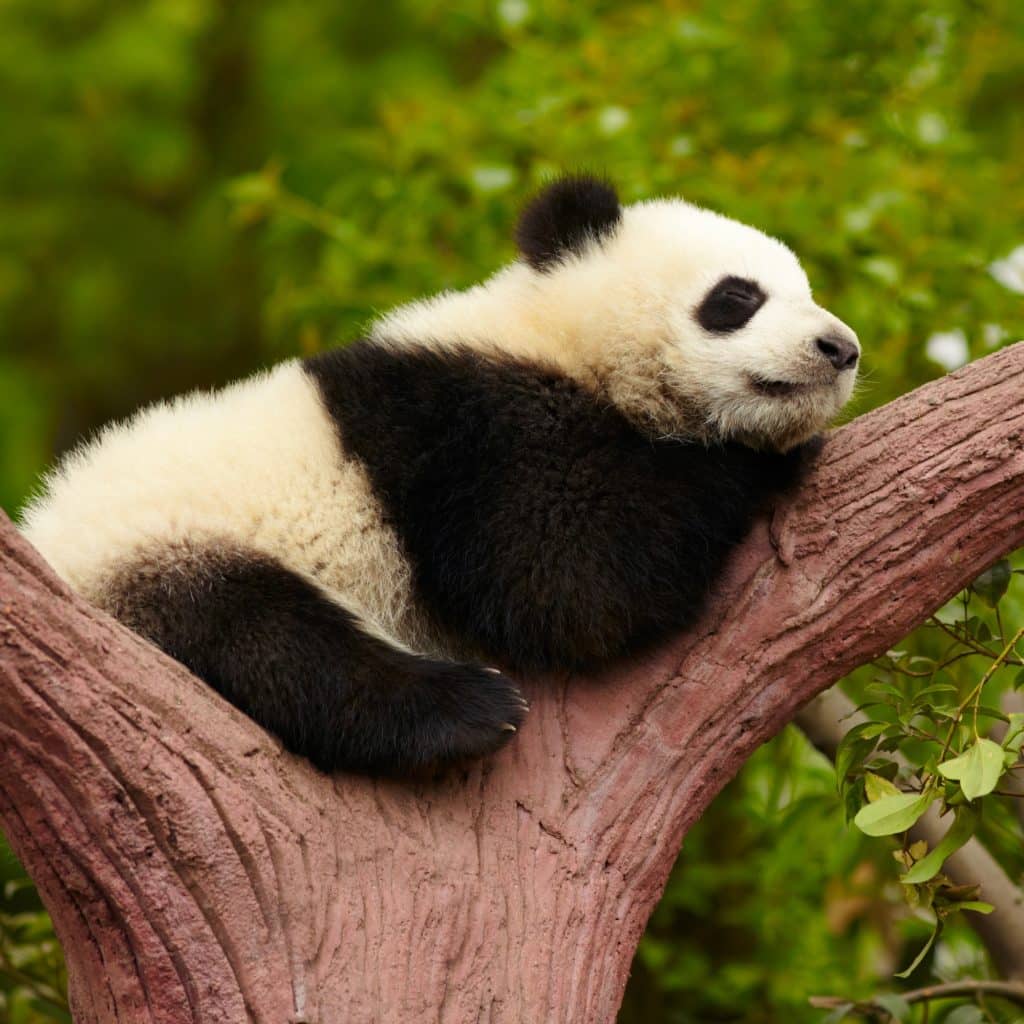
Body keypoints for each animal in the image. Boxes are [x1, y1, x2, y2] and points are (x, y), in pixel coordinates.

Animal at [20, 175, 859, 777]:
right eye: (737, 297)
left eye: (808, 289)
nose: (840, 348)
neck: (554, 333)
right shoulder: (470, 429)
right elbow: (569, 577)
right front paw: (763, 456)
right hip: (158, 555)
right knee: (265, 637)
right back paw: (467, 710)